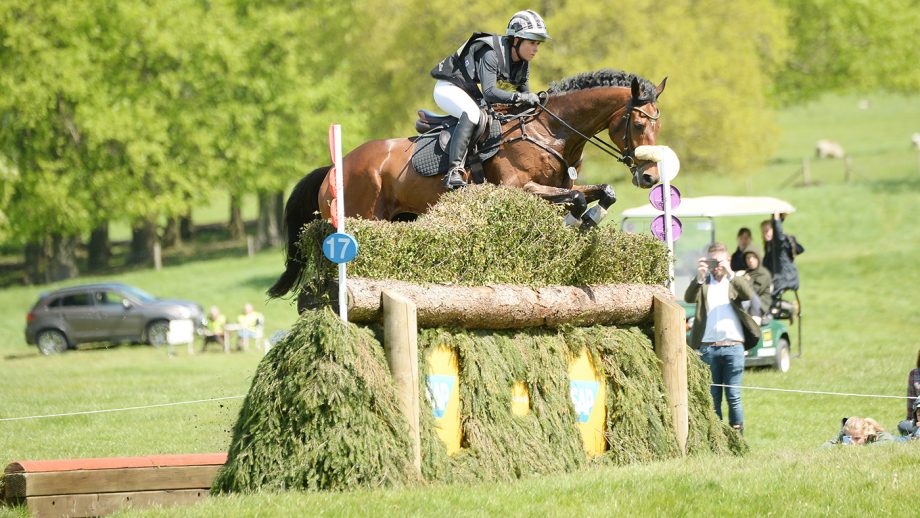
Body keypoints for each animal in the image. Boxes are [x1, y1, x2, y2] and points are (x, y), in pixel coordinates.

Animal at [269, 69, 667, 299]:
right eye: (638, 124)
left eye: (657, 125)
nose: (649, 177)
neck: (551, 130)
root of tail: (335, 167)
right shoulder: (520, 190)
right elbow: (577, 199)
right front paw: (579, 220)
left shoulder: (558, 186)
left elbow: (602, 193)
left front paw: (586, 220)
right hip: (362, 216)